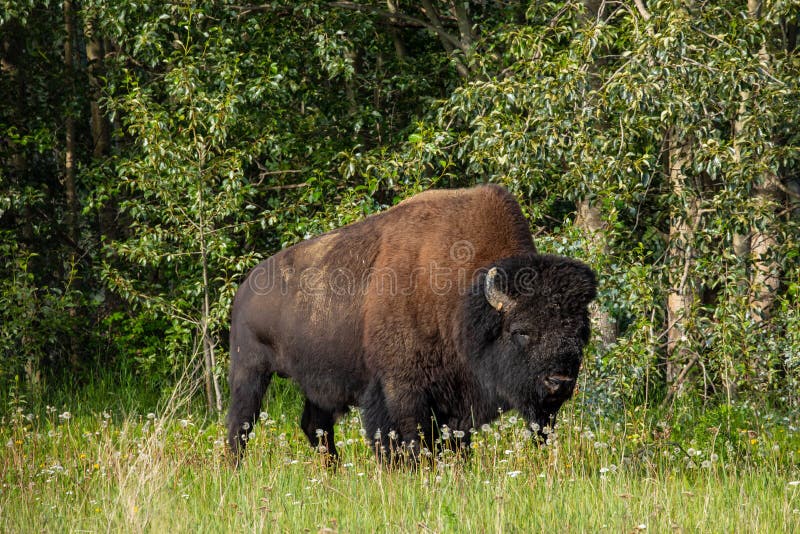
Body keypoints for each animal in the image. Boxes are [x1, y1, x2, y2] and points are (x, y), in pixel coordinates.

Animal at [227, 184, 597, 461]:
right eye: (521, 331)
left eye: (580, 334)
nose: (559, 382)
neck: (463, 299)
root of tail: (245, 288)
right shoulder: (401, 390)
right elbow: (406, 440)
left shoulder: (455, 404)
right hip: (250, 370)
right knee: (239, 426)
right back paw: (235, 469)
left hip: (316, 382)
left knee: (315, 426)